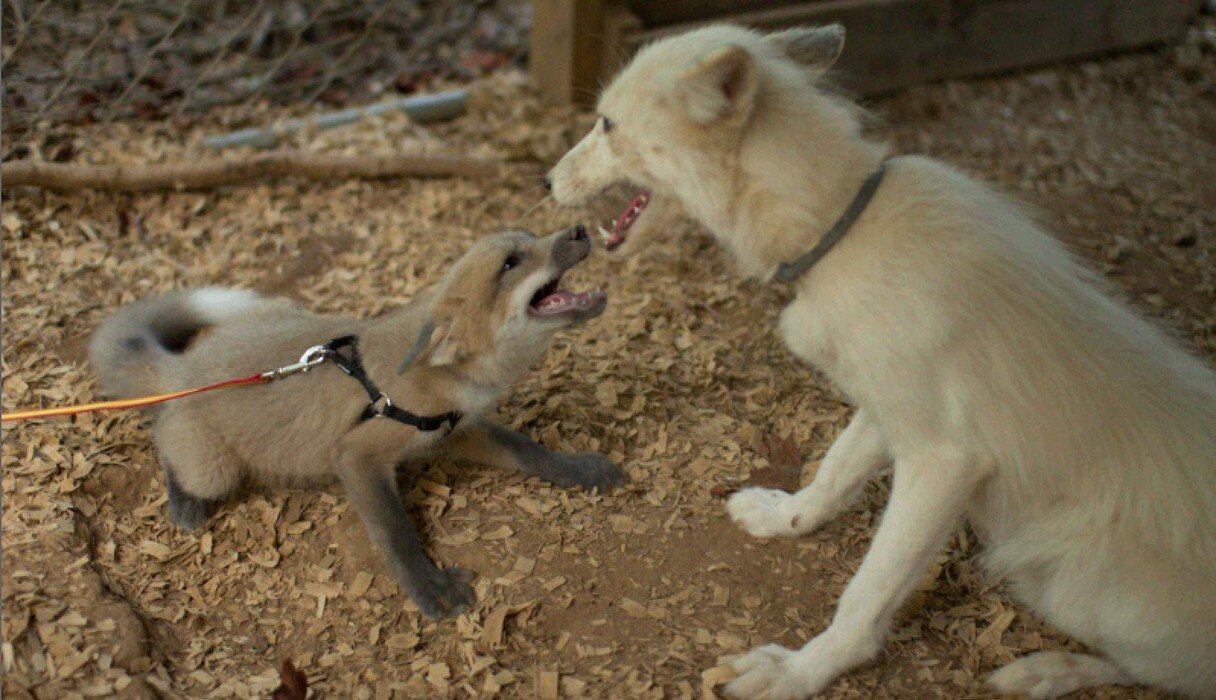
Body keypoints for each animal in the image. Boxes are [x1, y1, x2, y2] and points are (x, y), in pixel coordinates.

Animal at [89, 226, 623, 619]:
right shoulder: (358, 455)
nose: (578, 229)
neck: (432, 378)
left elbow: (529, 451)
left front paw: (583, 470)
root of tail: (183, 368)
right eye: (511, 263)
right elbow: (396, 533)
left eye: (531, 238)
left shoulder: (453, 429)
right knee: (164, 440)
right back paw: (182, 501)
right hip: (214, 470)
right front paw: (431, 589)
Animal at [546, 24, 1216, 699]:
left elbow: (865, 596)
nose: (545, 183)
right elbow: (831, 477)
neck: (840, 227)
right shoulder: (886, 409)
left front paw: (800, 670)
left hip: (1076, 587)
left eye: (606, 123)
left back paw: (1045, 671)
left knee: (1162, 675)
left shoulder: (944, 463)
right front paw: (783, 518)